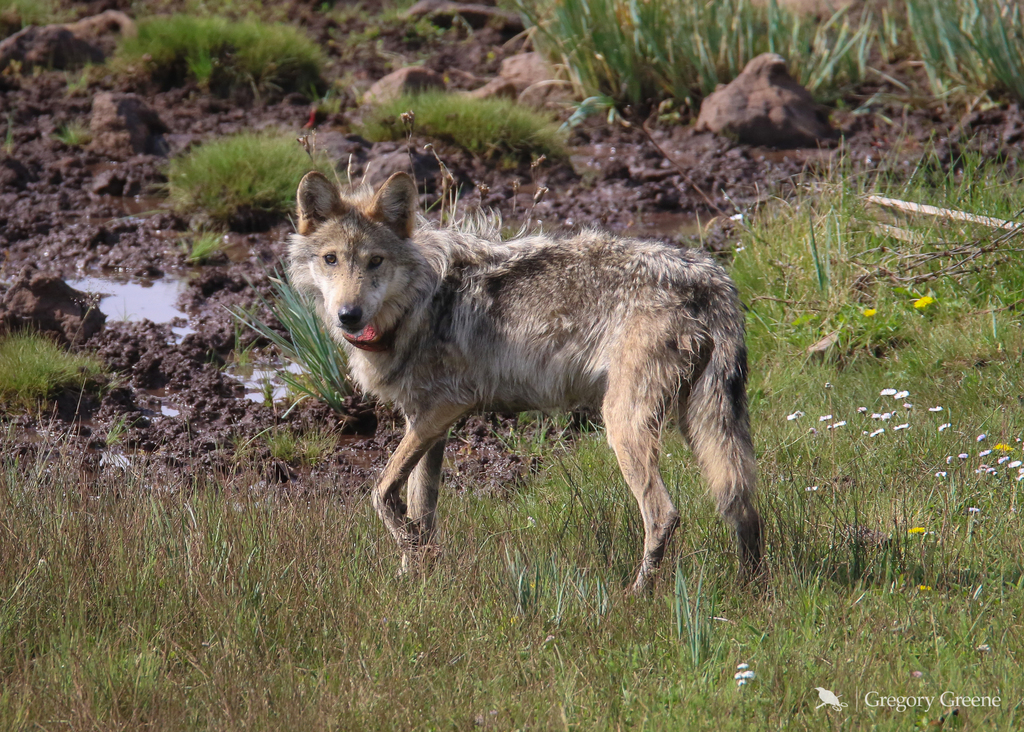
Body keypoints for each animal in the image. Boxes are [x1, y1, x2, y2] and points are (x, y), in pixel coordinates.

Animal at [288, 170, 762, 593]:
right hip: (709, 424)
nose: (348, 315)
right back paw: (751, 589)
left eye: (375, 261)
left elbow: (381, 492)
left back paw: (636, 595)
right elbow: (420, 509)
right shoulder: (426, 424)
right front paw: (416, 580)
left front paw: (415, 559)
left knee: (664, 514)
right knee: (742, 503)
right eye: (331, 259)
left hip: (623, 424)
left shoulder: (442, 411)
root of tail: (711, 276)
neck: (418, 301)